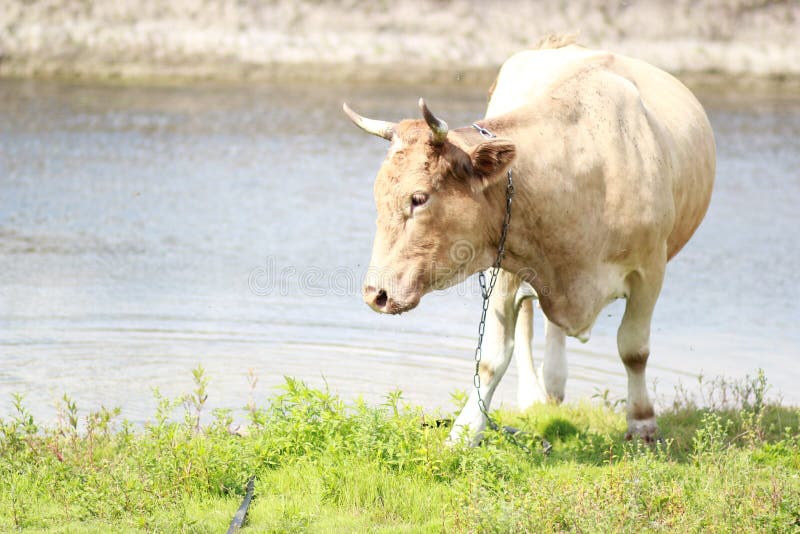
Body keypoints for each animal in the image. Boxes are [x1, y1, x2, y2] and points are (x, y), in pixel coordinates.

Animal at [343, 36, 715, 444]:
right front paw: (465, 431)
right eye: (379, 197)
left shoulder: (650, 270)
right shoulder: (504, 264)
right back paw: (538, 392)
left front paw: (643, 423)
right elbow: (492, 357)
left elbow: (634, 349)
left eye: (419, 198)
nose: (376, 293)